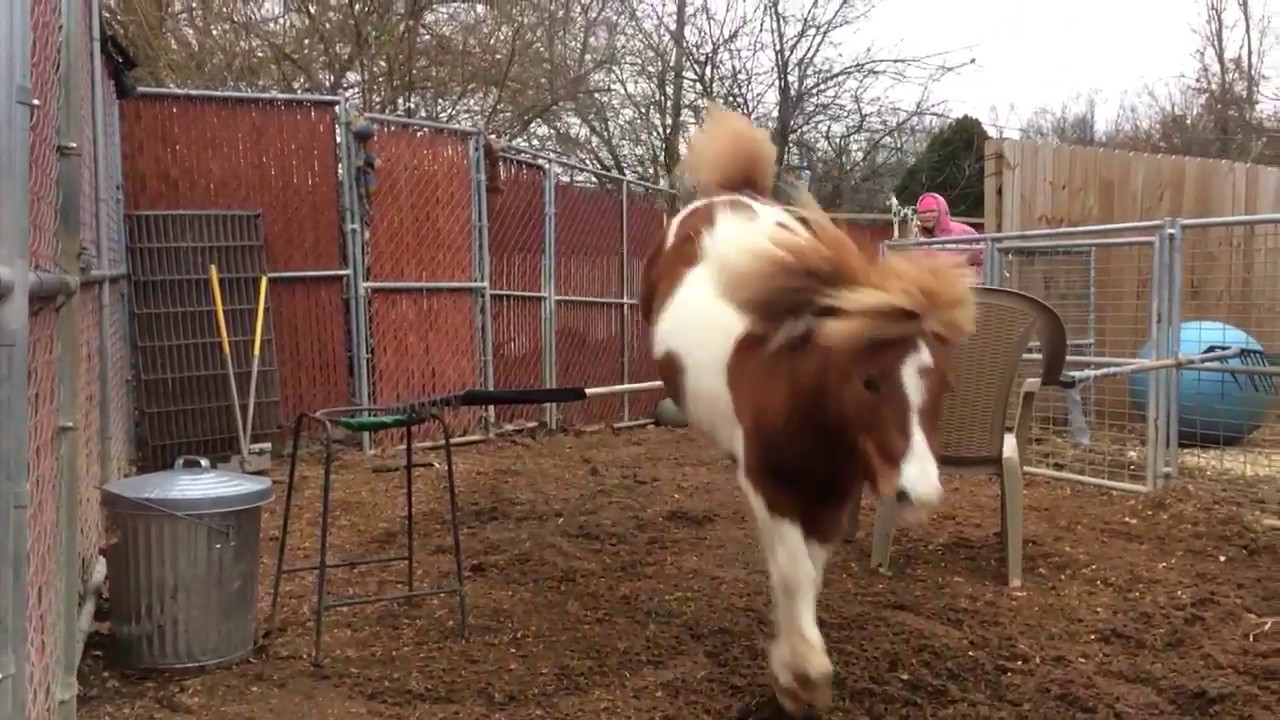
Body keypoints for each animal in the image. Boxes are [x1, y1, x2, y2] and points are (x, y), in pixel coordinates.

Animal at [638, 103, 977, 716]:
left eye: (945, 385)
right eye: (868, 381)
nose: (918, 493)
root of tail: (731, 194)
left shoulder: (831, 497)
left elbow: (808, 574)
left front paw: (796, 667)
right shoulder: (773, 486)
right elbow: (793, 572)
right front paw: (803, 677)